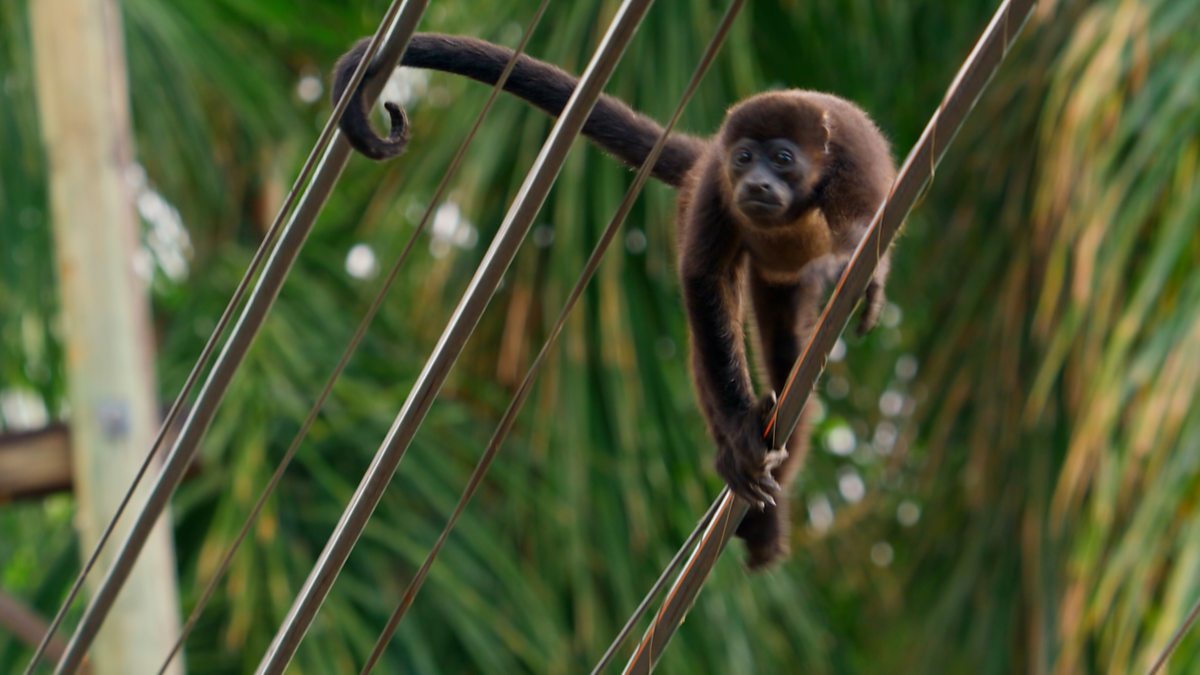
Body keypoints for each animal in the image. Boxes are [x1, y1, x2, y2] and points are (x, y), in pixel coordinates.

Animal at [331, 34, 896, 569]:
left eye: (781, 159)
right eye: (744, 158)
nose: (756, 182)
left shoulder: (852, 161)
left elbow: (861, 226)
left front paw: (854, 270)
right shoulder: (716, 184)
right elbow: (703, 279)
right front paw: (739, 433)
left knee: (785, 352)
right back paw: (741, 476)